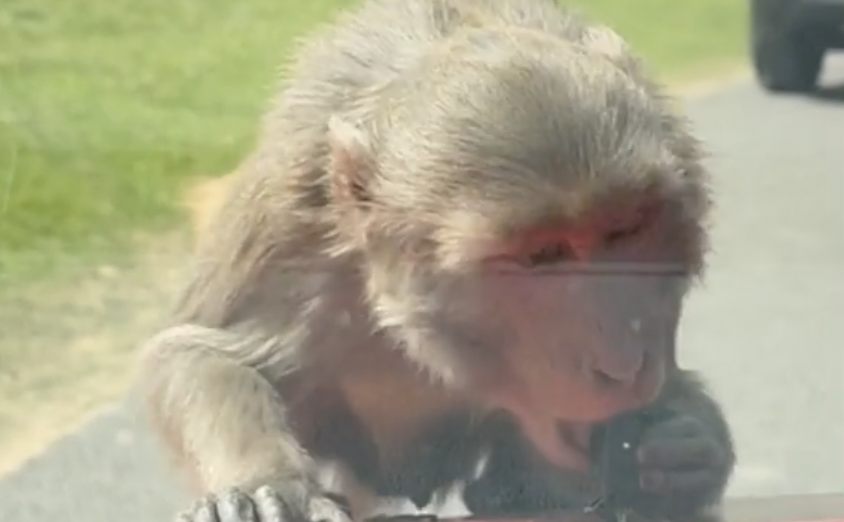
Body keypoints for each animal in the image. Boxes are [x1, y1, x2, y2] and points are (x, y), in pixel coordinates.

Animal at [137, 0, 736, 521]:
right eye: (541, 255)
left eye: (622, 230)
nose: (621, 360)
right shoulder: (290, 226)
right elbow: (197, 350)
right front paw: (269, 487)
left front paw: (679, 449)